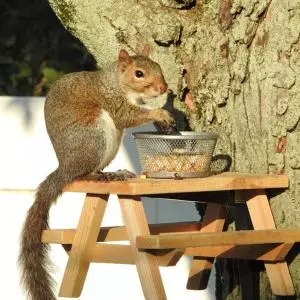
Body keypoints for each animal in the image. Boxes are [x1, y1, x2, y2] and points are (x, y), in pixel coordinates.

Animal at [18, 47, 173, 300]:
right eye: (139, 73)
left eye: (158, 66)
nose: (163, 88)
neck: (118, 82)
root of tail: (65, 166)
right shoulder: (112, 100)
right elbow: (127, 116)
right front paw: (160, 113)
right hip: (94, 136)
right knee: (83, 174)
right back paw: (101, 176)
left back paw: (115, 172)